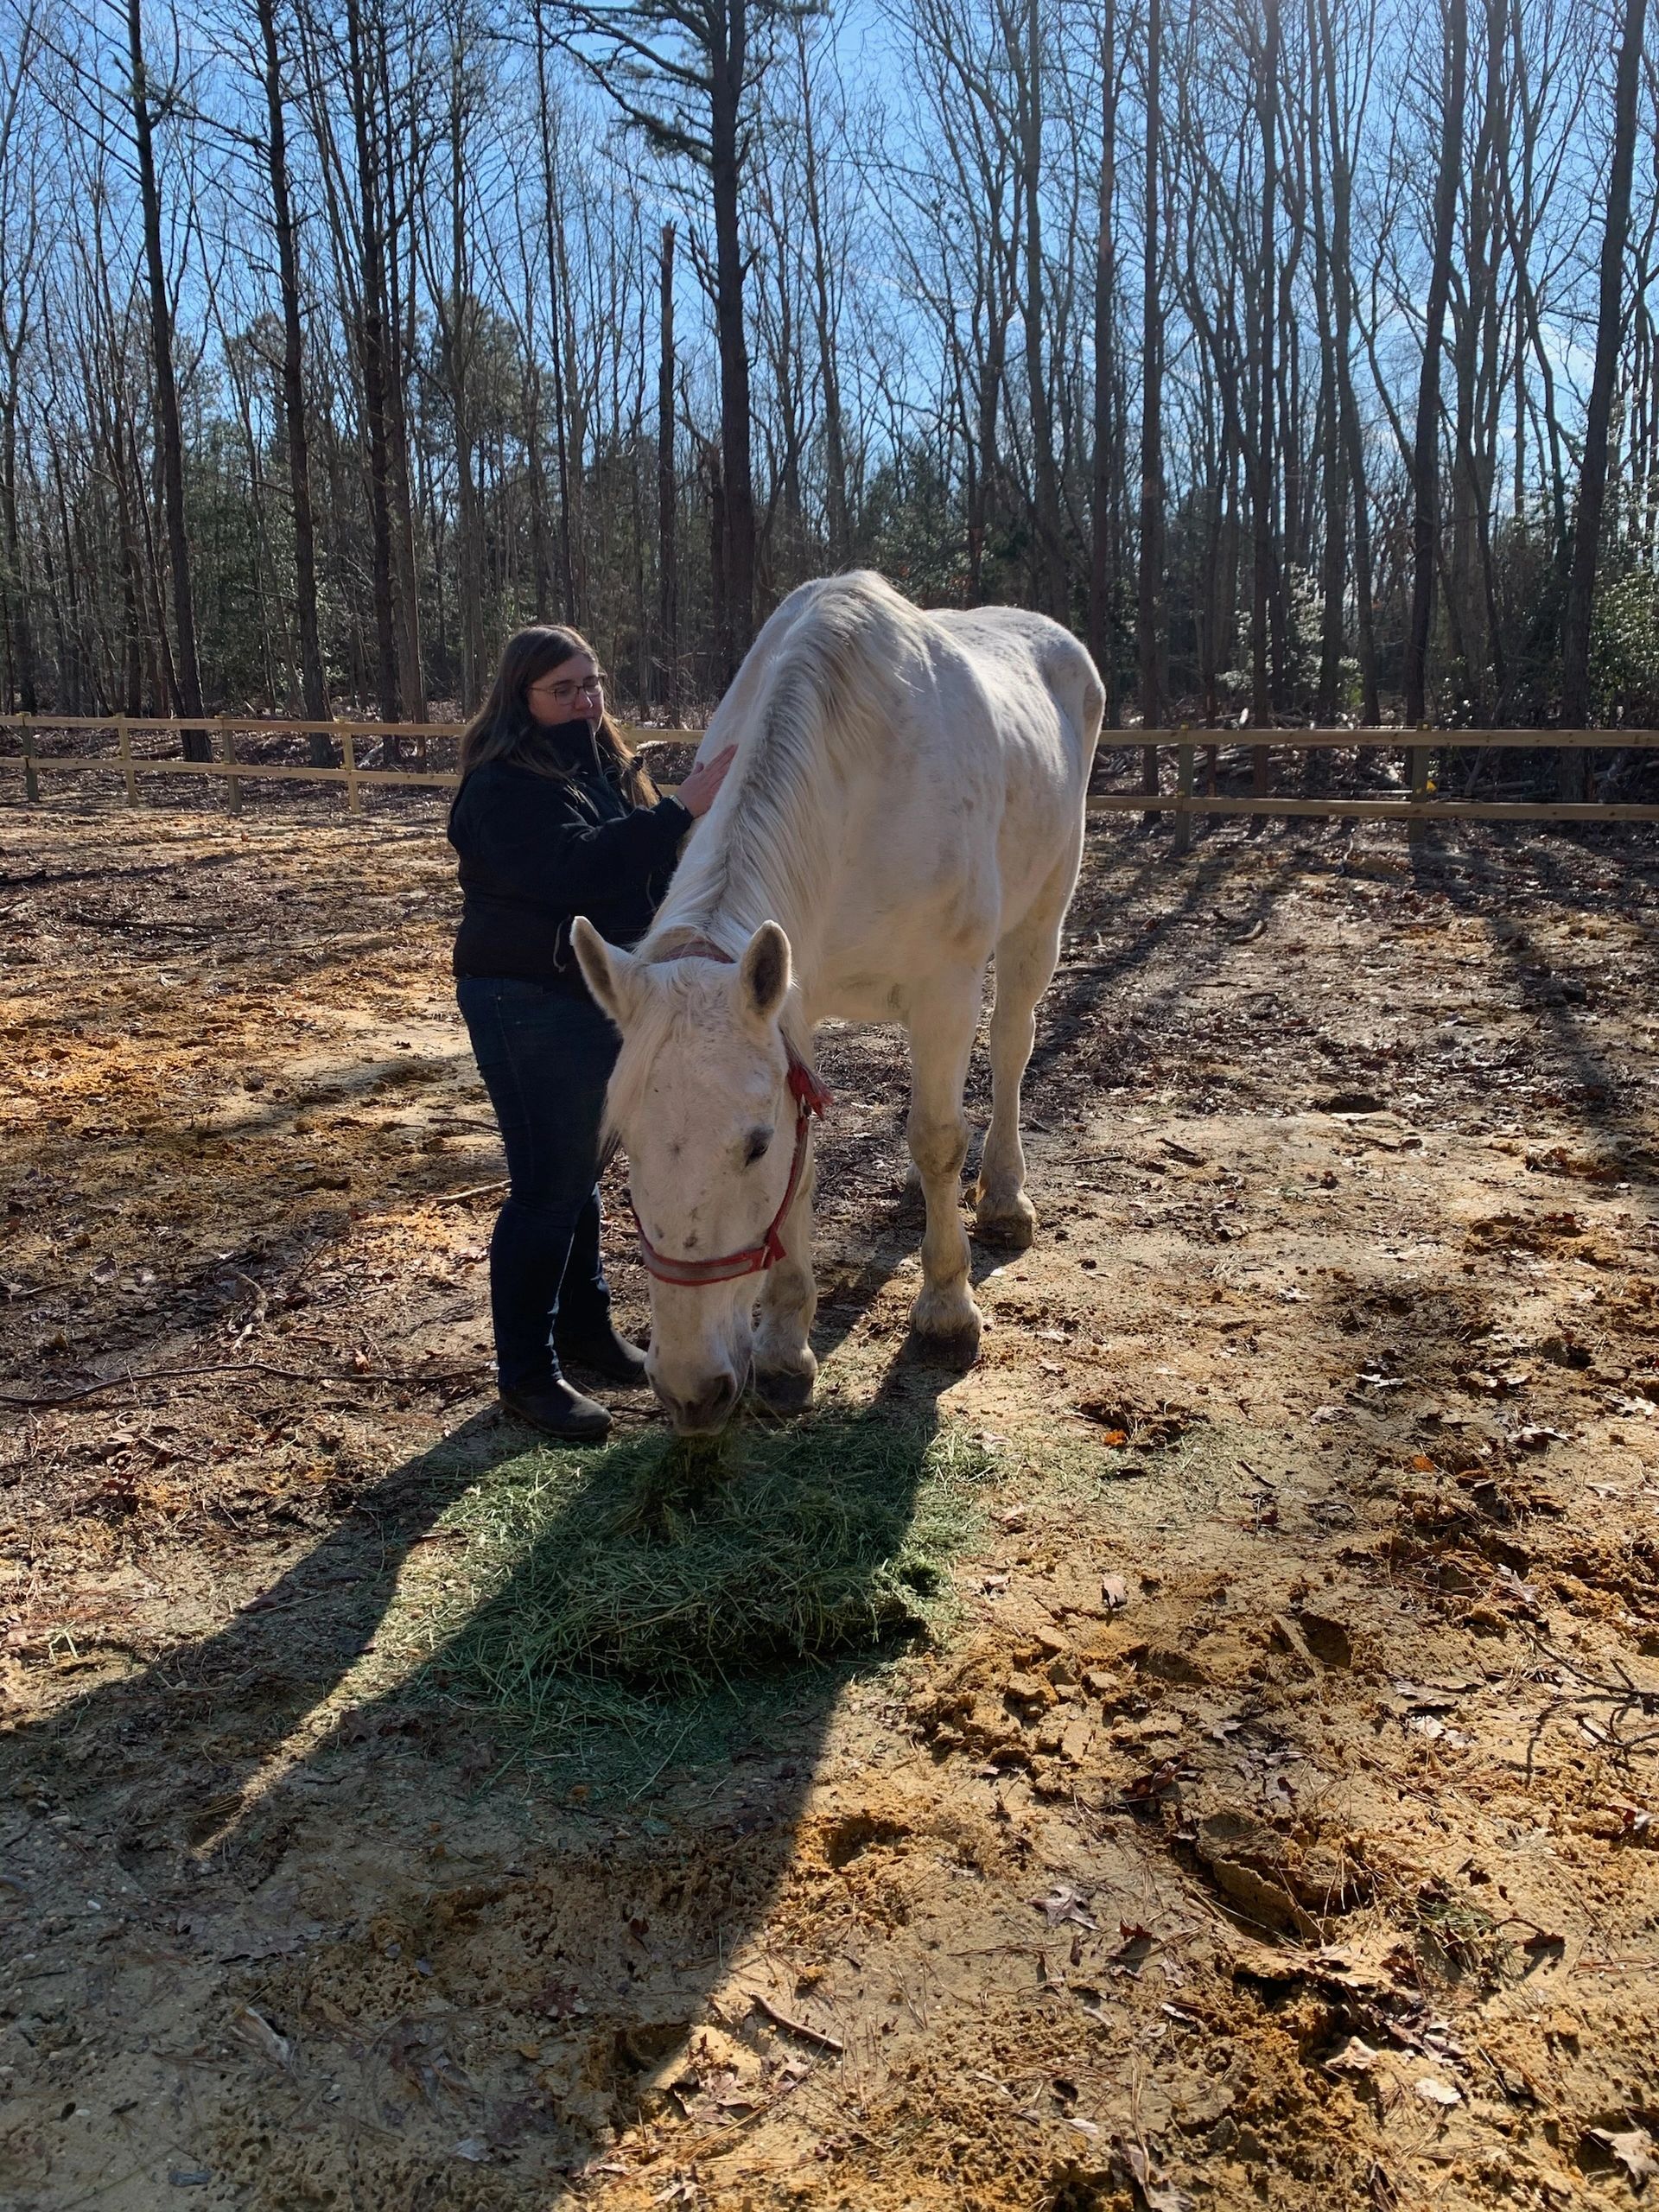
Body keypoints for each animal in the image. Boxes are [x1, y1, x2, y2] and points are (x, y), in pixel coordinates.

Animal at [573, 569, 1103, 1435]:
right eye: (624, 1148)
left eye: (754, 1147)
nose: (690, 1389)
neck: (856, 787)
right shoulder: (797, 999)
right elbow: (815, 1168)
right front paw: (786, 1353)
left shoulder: (944, 986)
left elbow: (937, 1137)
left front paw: (947, 1311)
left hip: (1039, 922)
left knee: (1009, 1050)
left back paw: (1002, 1197)